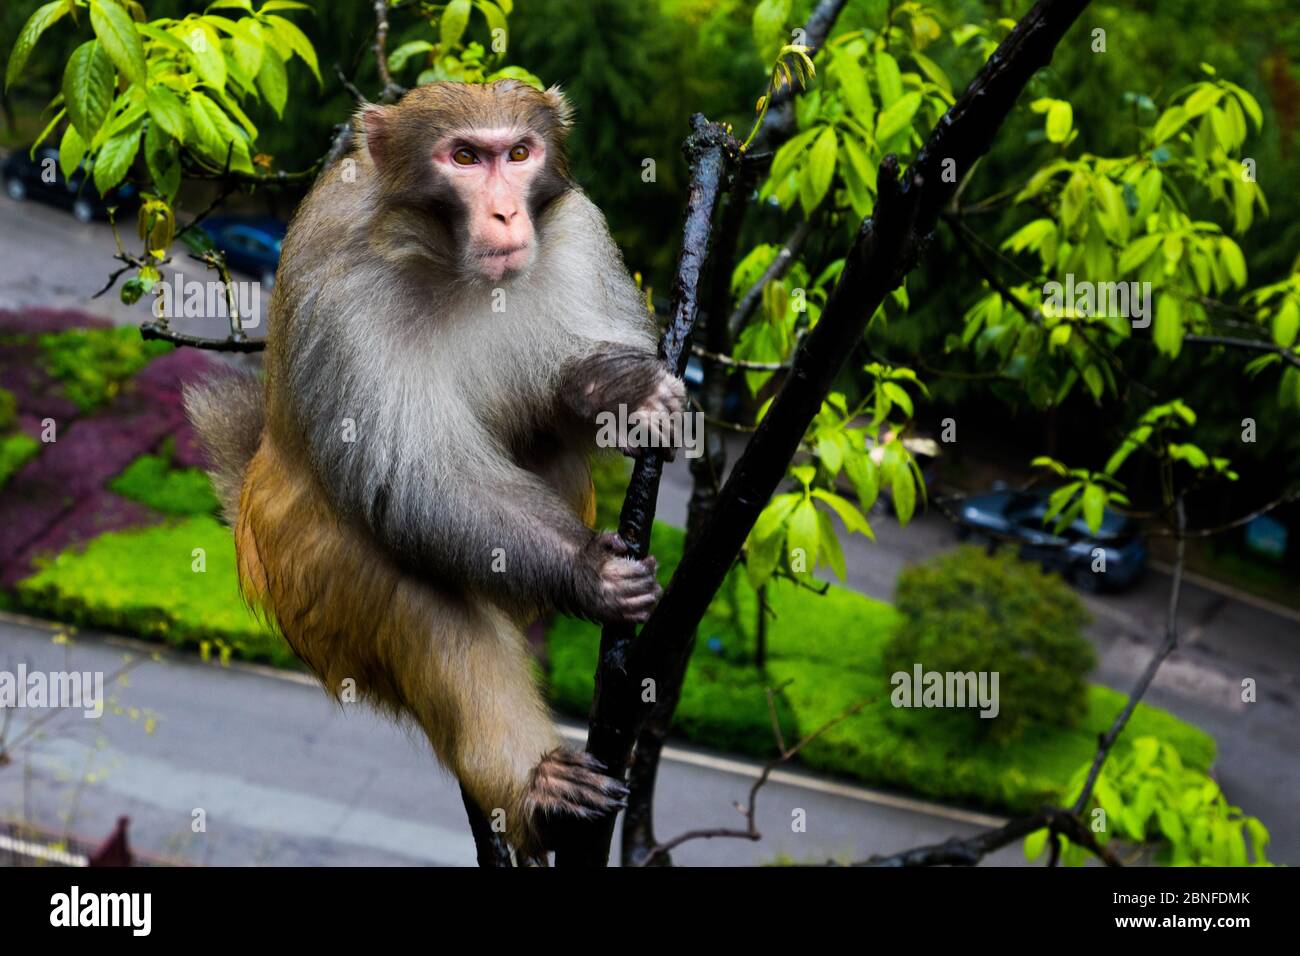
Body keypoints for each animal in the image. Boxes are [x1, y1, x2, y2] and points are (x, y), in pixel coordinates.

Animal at [184, 79, 687, 855]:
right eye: (465, 157)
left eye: (518, 153)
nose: (506, 211)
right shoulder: (348, 292)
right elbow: (412, 473)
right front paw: (589, 571)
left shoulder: (579, 236)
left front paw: (618, 391)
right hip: (298, 571)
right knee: (420, 591)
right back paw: (537, 790)